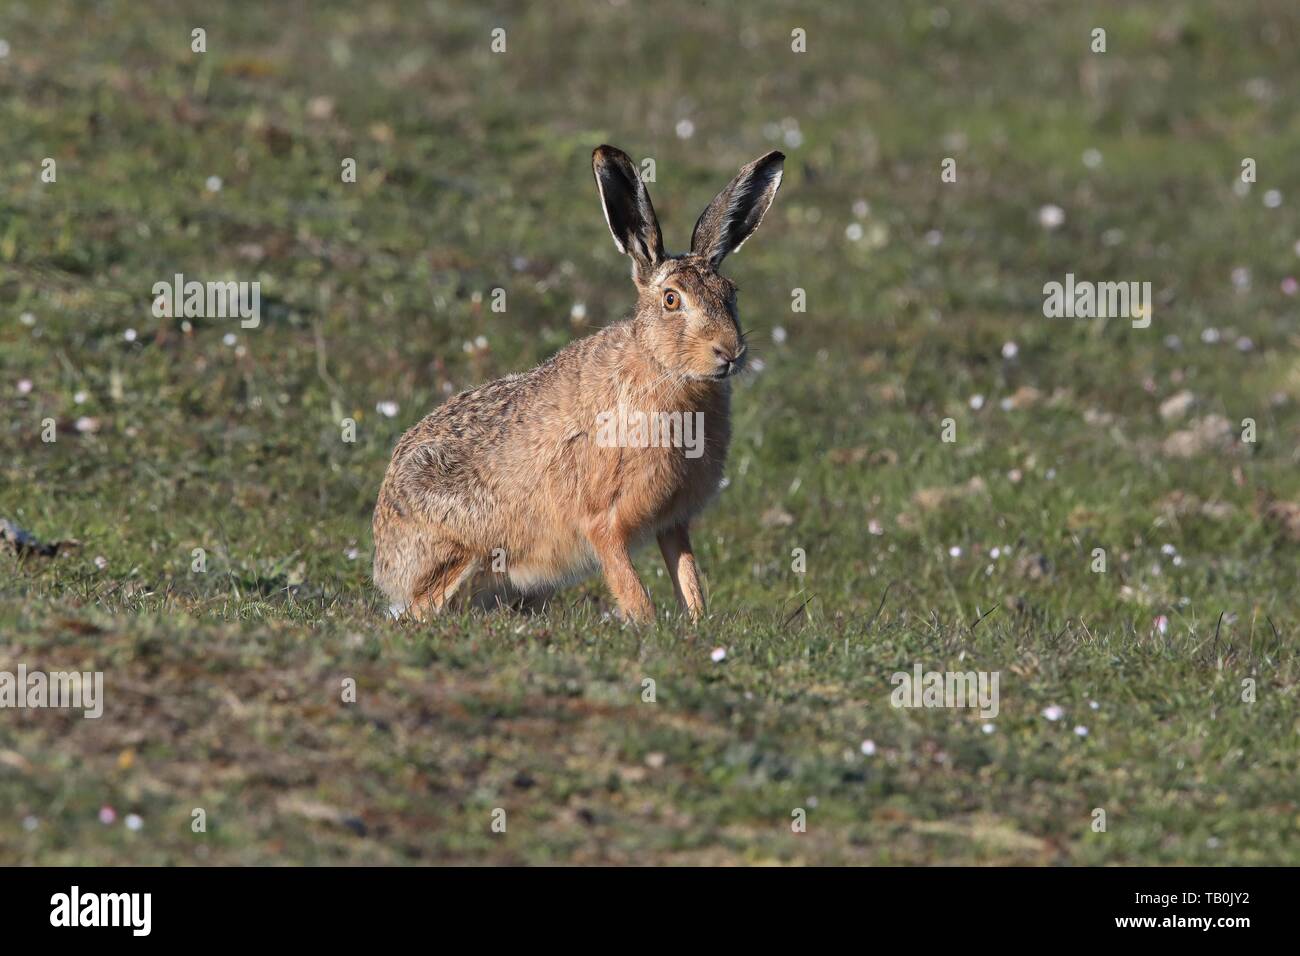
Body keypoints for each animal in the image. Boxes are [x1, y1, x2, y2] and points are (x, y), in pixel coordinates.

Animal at [373, 144, 784, 623]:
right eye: (671, 300)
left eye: (731, 293)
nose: (730, 351)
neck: (661, 369)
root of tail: (384, 557)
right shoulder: (603, 520)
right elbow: (629, 584)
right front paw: (646, 624)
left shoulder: (673, 521)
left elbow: (687, 575)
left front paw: (697, 622)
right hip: (464, 548)